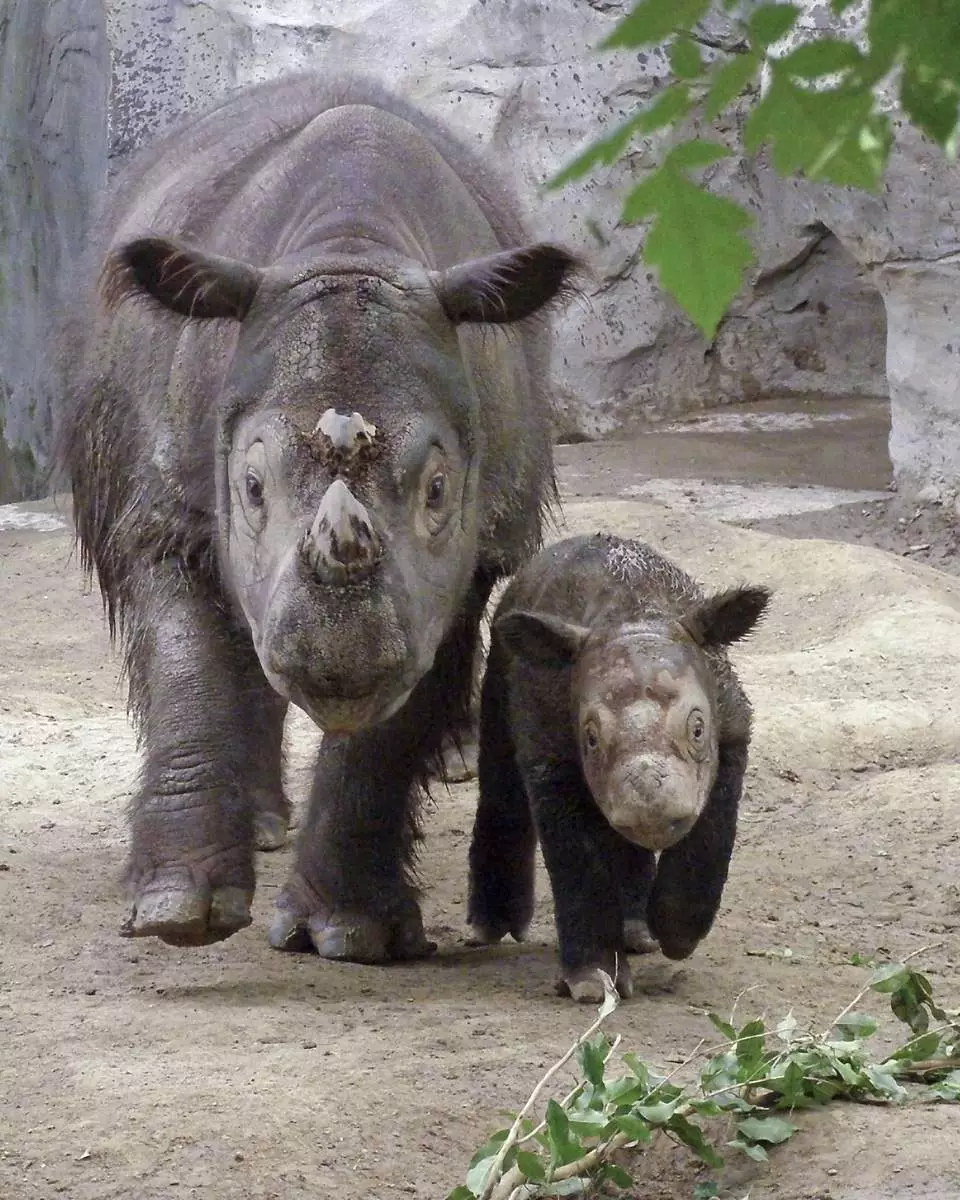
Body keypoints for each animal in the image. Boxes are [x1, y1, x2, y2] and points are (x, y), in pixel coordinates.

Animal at [58, 72, 578, 955]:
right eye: (251, 486)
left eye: (439, 490)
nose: (334, 665)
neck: (351, 246)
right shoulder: (166, 513)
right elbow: (187, 663)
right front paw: (177, 914)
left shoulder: (464, 554)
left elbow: (396, 713)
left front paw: (350, 934)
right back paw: (264, 828)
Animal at [465, 537, 772, 1003]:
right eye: (590, 738)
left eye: (698, 728)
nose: (651, 812)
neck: (632, 614)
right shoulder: (552, 753)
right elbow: (577, 858)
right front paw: (593, 983)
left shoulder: (732, 729)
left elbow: (711, 836)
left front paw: (677, 936)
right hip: (502, 661)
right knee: (502, 782)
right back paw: (489, 928)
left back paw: (639, 934)